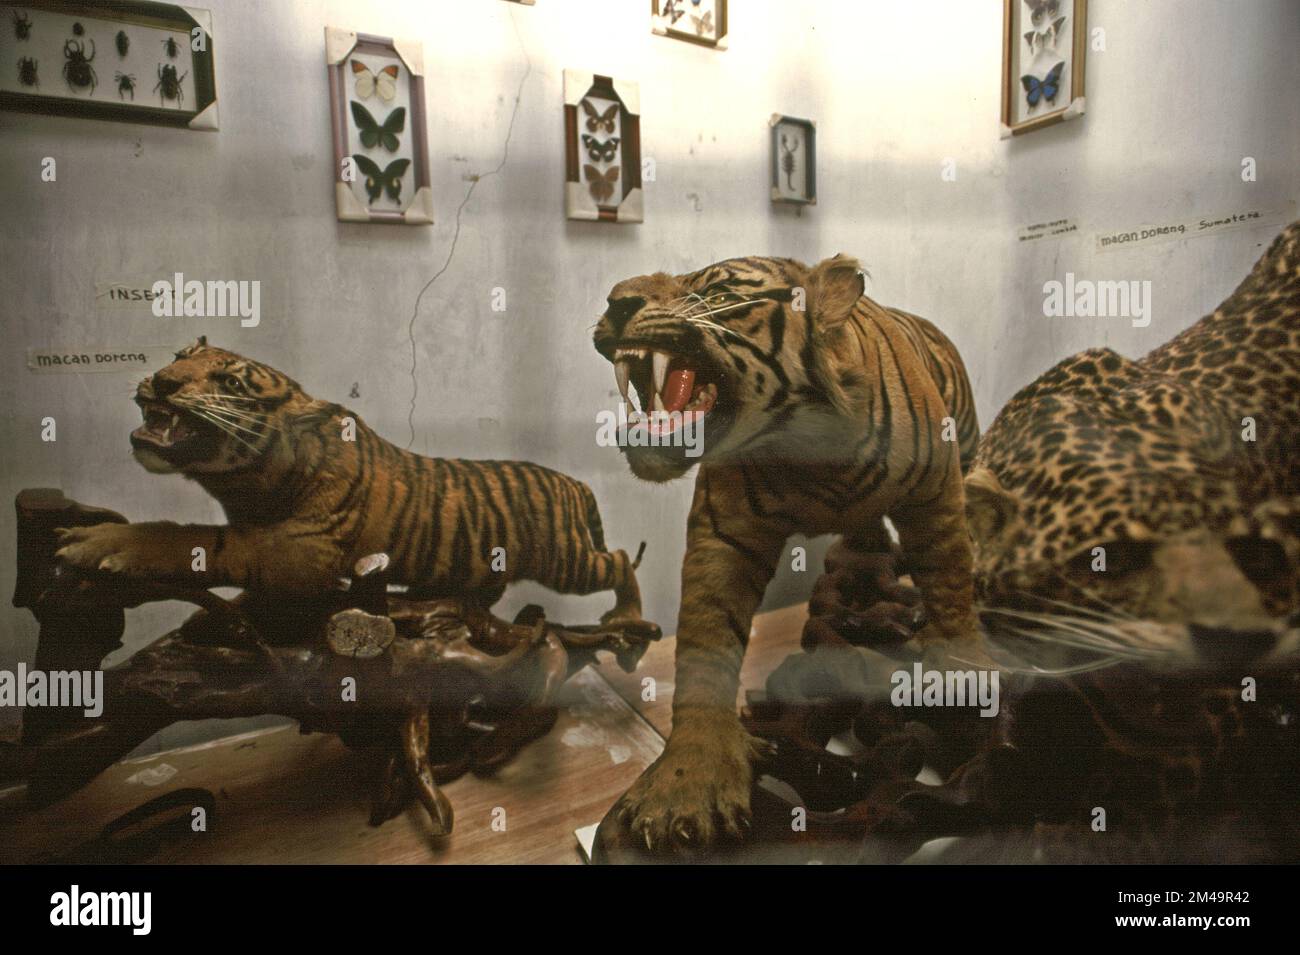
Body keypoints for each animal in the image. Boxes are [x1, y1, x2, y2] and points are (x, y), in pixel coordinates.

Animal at [53, 338, 647, 627]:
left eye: (229, 382)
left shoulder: (299, 549)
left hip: (567, 561)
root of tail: (575, 483)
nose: (162, 381)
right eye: (180, 358)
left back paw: (629, 614)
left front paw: (98, 542)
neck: (248, 485)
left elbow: (193, 539)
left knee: (618, 559)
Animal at [591, 253, 981, 850]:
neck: (815, 452)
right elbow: (706, 647)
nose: (615, 301)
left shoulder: (936, 500)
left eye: (717, 291)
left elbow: (952, 587)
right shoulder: (723, 535)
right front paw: (688, 785)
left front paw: (968, 674)